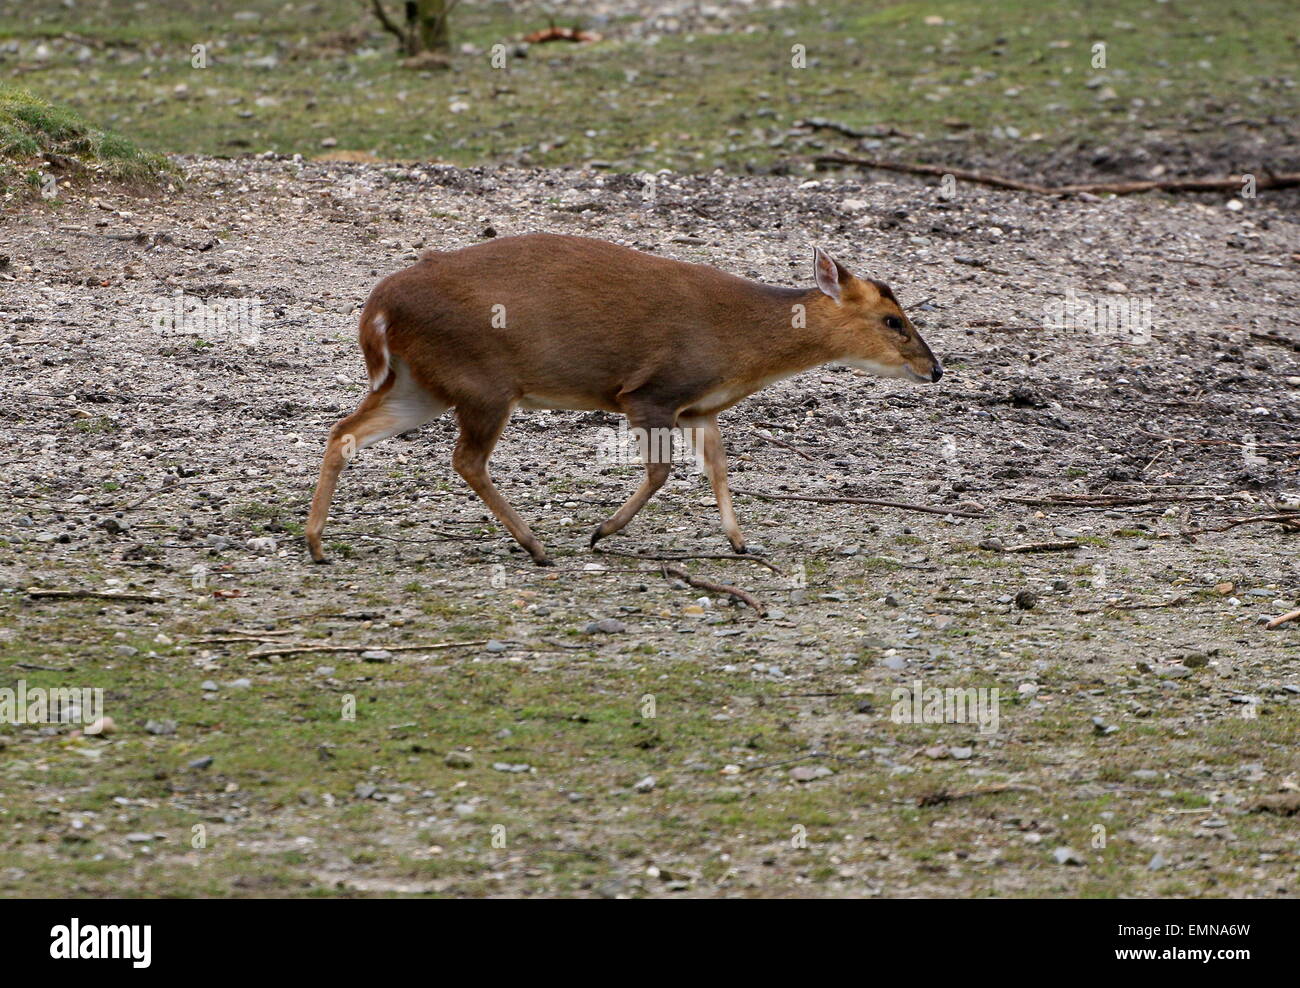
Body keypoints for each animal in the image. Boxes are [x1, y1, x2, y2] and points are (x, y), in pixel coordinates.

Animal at [305, 233, 942, 566]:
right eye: (893, 321)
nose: (935, 369)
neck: (743, 346)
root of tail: (379, 305)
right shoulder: (649, 392)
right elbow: (660, 471)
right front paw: (601, 532)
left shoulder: (699, 407)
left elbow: (718, 466)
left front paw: (739, 542)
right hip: (483, 381)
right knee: (466, 459)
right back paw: (537, 546)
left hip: (422, 384)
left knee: (344, 432)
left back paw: (315, 543)